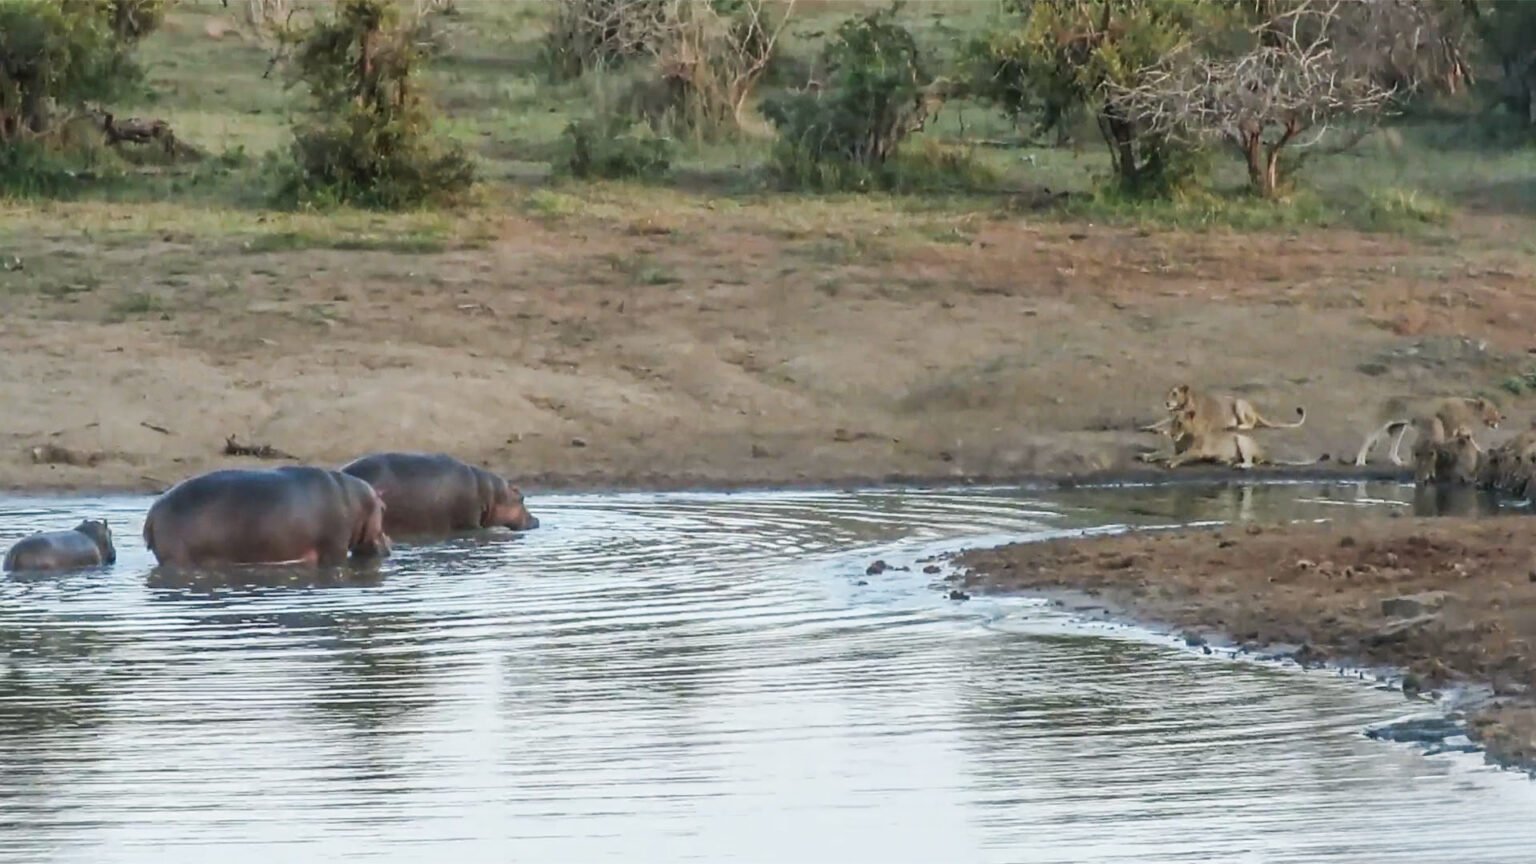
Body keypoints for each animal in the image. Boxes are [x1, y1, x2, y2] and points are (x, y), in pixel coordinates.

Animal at [143, 466, 391, 568]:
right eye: (384, 508)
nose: (389, 546)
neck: (359, 502)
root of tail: (153, 512)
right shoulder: (335, 548)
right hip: (178, 557)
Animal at [1140, 384, 1306, 436]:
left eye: (1174, 393)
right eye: (1168, 393)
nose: (1166, 402)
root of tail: (1254, 409)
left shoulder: (1197, 426)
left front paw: (1162, 431)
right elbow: (1159, 422)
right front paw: (1148, 427)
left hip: (1238, 403)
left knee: (1250, 424)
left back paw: (1235, 426)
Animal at [1353, 396, 1502, 467]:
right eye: (1494, 411)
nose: (1501, 419)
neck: (1471, 413)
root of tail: (1386, 399)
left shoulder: (1464, 433)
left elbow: (1476, 446)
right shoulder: (1448, 429)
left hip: (1398, 428)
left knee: (1392, 451)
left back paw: (1399, 463)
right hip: (1381, 425)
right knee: (1366, 441)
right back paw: (1360, 462)